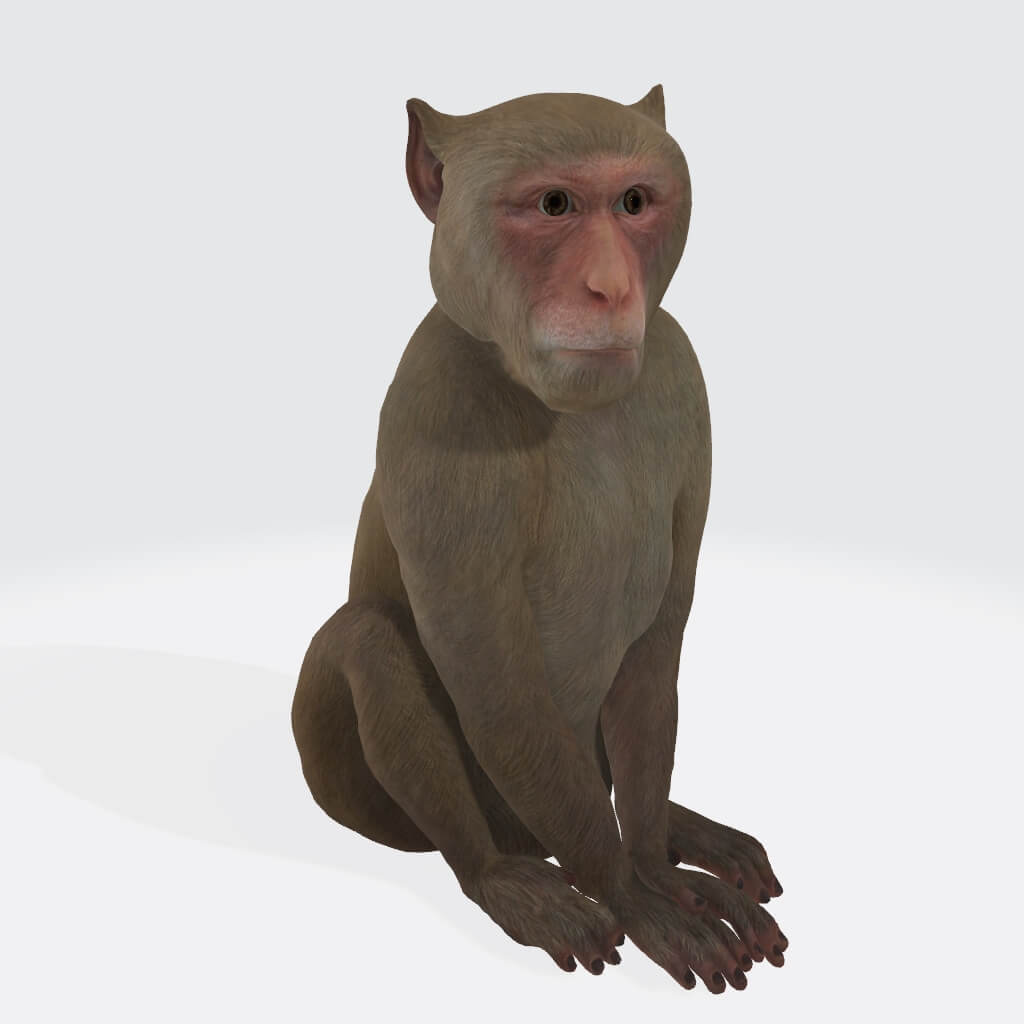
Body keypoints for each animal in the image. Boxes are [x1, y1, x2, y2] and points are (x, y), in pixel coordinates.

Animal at [291, 85, 788, 992]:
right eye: (554, 206)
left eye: (634, 202)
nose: (610, 288)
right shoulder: (434, 410)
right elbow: (497, 681)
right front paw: (636, 894)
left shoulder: (681, 376)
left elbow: (655, 649)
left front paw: (654, 865)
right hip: (371, 793)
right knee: (366, 641)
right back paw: (503, 877)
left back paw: (673, 828)